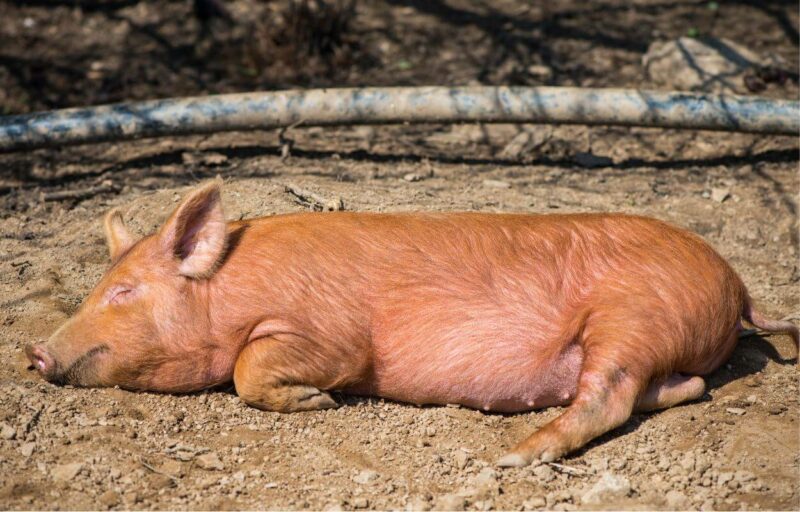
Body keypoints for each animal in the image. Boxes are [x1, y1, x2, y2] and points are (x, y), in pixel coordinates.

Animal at [25, 180, 798, 466]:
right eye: (98, 287)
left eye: (123, 291)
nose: (34, 352)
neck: (232, 290)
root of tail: (735, 285)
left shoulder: (329, 333)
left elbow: (251, 367)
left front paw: (319, 400)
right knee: (676, 388)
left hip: (632, 315)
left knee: (607, 396)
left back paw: (513, 456)